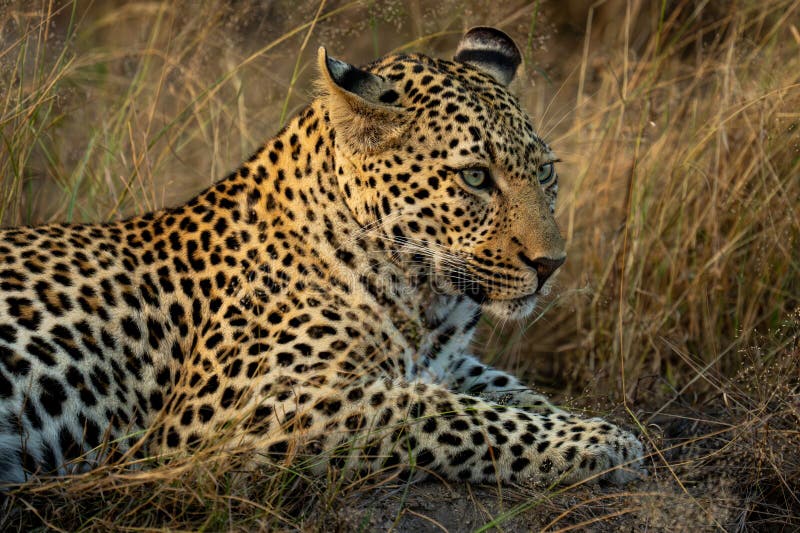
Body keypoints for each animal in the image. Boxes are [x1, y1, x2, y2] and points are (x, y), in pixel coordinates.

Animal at [0, 27, 645, 487]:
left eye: (545, 173)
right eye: (475, 177)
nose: (551, 265)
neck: (426, 297)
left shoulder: (440, 361)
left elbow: (506, 389)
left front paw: (591, 425)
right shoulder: (244, 403)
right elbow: (448, 414)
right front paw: (600, 443)